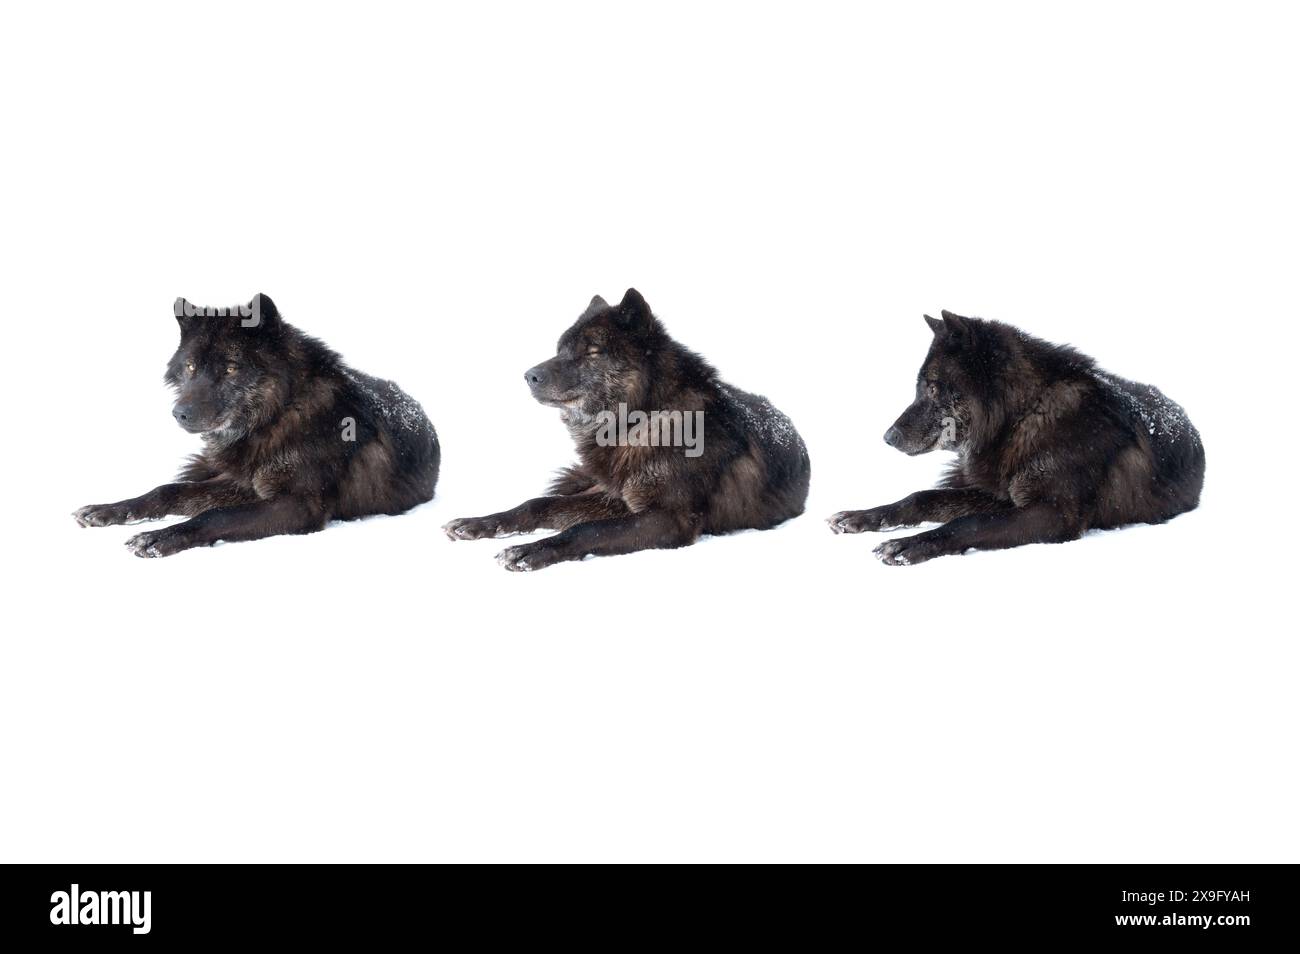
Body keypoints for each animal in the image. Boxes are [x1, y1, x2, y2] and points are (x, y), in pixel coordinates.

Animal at [73, 294, 439, 557]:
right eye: (190, 366)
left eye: (230, 368)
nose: (180, 413)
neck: (274, 417)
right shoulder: (240, 483)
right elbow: (169, 490)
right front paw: (107, 511)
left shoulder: (299, 505)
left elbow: (215, 516)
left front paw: (156, 538)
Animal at [442, 288, 810, 570]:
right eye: (561, 349)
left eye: (592, 351)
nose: (529, 375)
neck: (637, 420)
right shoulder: (614, 495)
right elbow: (538, 504)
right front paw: (478, 524)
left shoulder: (669, 519)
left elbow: (586, 531)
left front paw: (526, 551)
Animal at [828, 311, 1204, 565]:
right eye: (921, 387)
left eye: (933, 388)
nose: (887, 437)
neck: (1020, 417)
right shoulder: (996, 494)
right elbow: (922, 498)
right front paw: (861, 517)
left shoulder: (1053, 514)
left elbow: (969, 523)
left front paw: (908, 545)